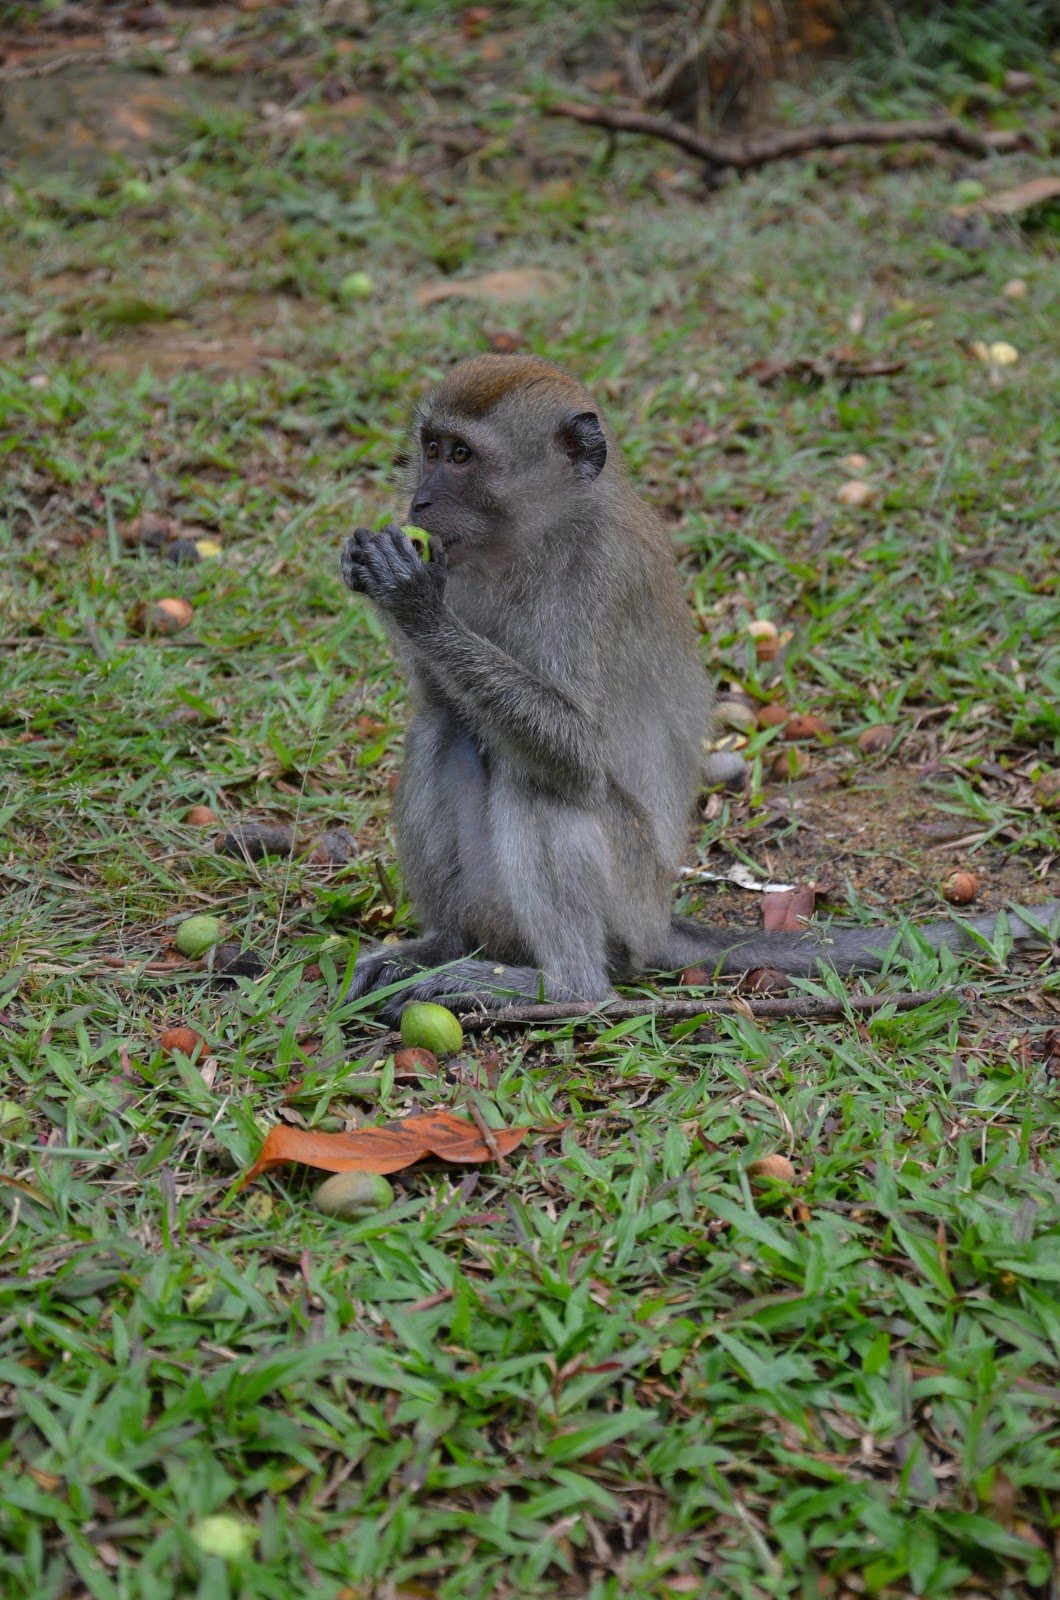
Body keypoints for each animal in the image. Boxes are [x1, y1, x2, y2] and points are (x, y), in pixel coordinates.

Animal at [339, 353, 1058, 1023]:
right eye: (432, 448)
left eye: (462, 456)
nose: (419, 502)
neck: (533, 535)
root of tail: (659, 919)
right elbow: (441, 702)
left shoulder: (597, 579)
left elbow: (575, 752)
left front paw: (413, 603)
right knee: (445, 729)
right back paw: (447, 945)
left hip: (627, 903)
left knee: (540, 782)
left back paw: (567, 989)